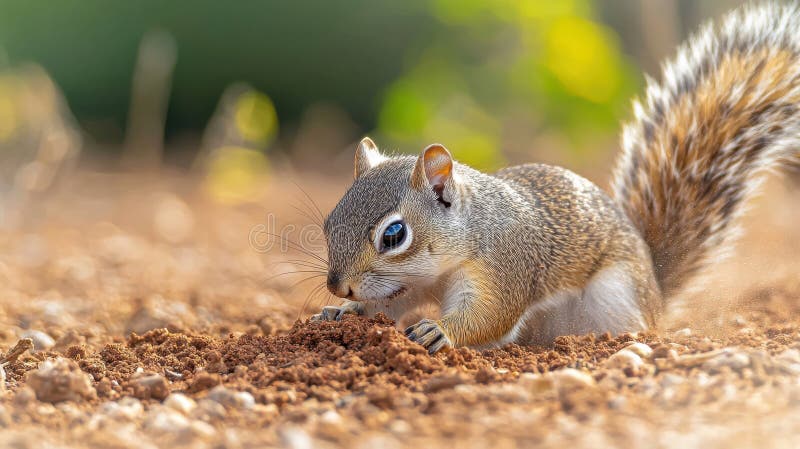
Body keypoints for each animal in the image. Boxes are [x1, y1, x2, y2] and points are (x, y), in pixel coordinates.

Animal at [312, 2, 800, 354]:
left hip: (615, 298)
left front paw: (439, 332)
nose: (337, 285)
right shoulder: (409, 283)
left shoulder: (505, 266)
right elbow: (389, 302)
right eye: (329, 222)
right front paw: (343, 312)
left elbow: (491, 315)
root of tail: (656, 290)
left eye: (394, 235)